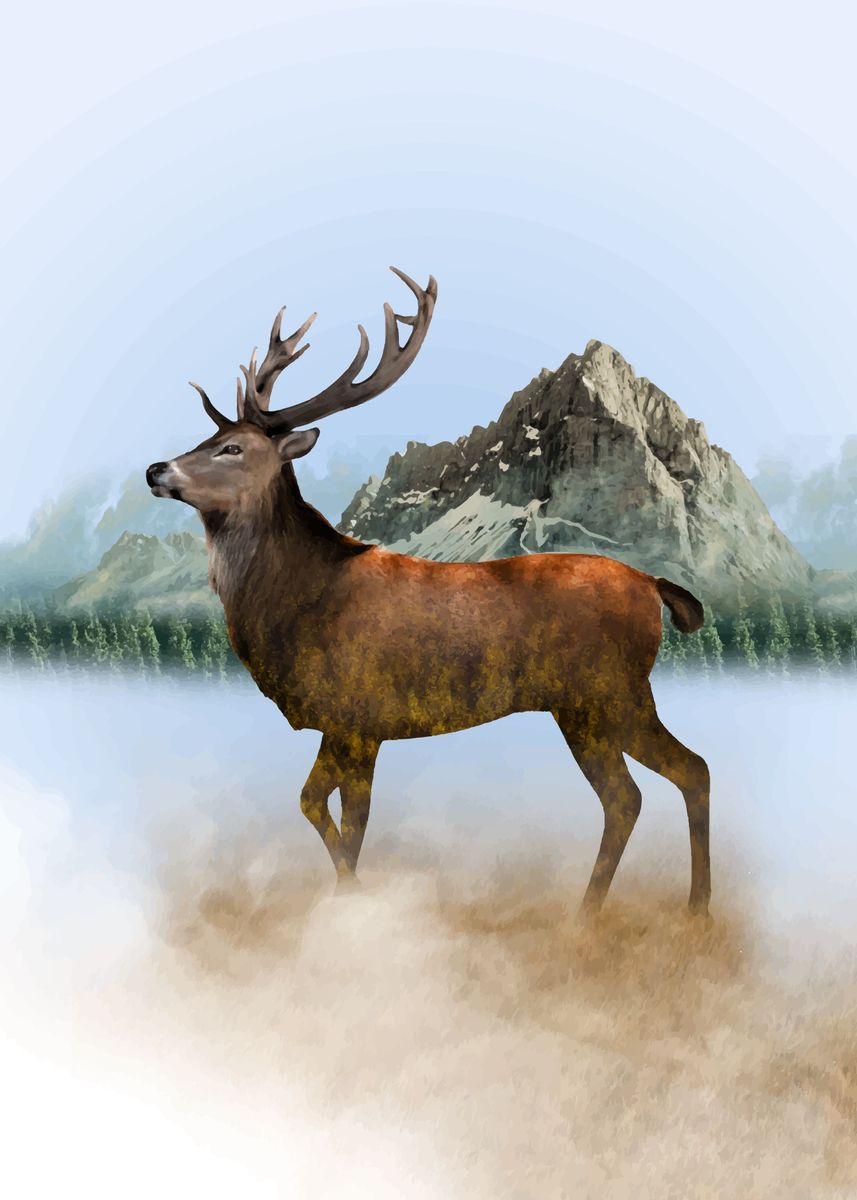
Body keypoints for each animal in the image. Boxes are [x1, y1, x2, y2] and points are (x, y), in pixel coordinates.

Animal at [147, 267, 711, 917]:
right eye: (208, 436)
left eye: (233, 448)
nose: (155, 470)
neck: (296, 607)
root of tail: (654, 585)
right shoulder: (349, 726)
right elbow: (327, 810)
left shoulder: (357, 715)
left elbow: (337, 817)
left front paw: (354, 902)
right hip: (585, 706)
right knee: (639, 792)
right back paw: (605, 910)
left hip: (611, 693)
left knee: (676, 775)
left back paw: (681, 908)